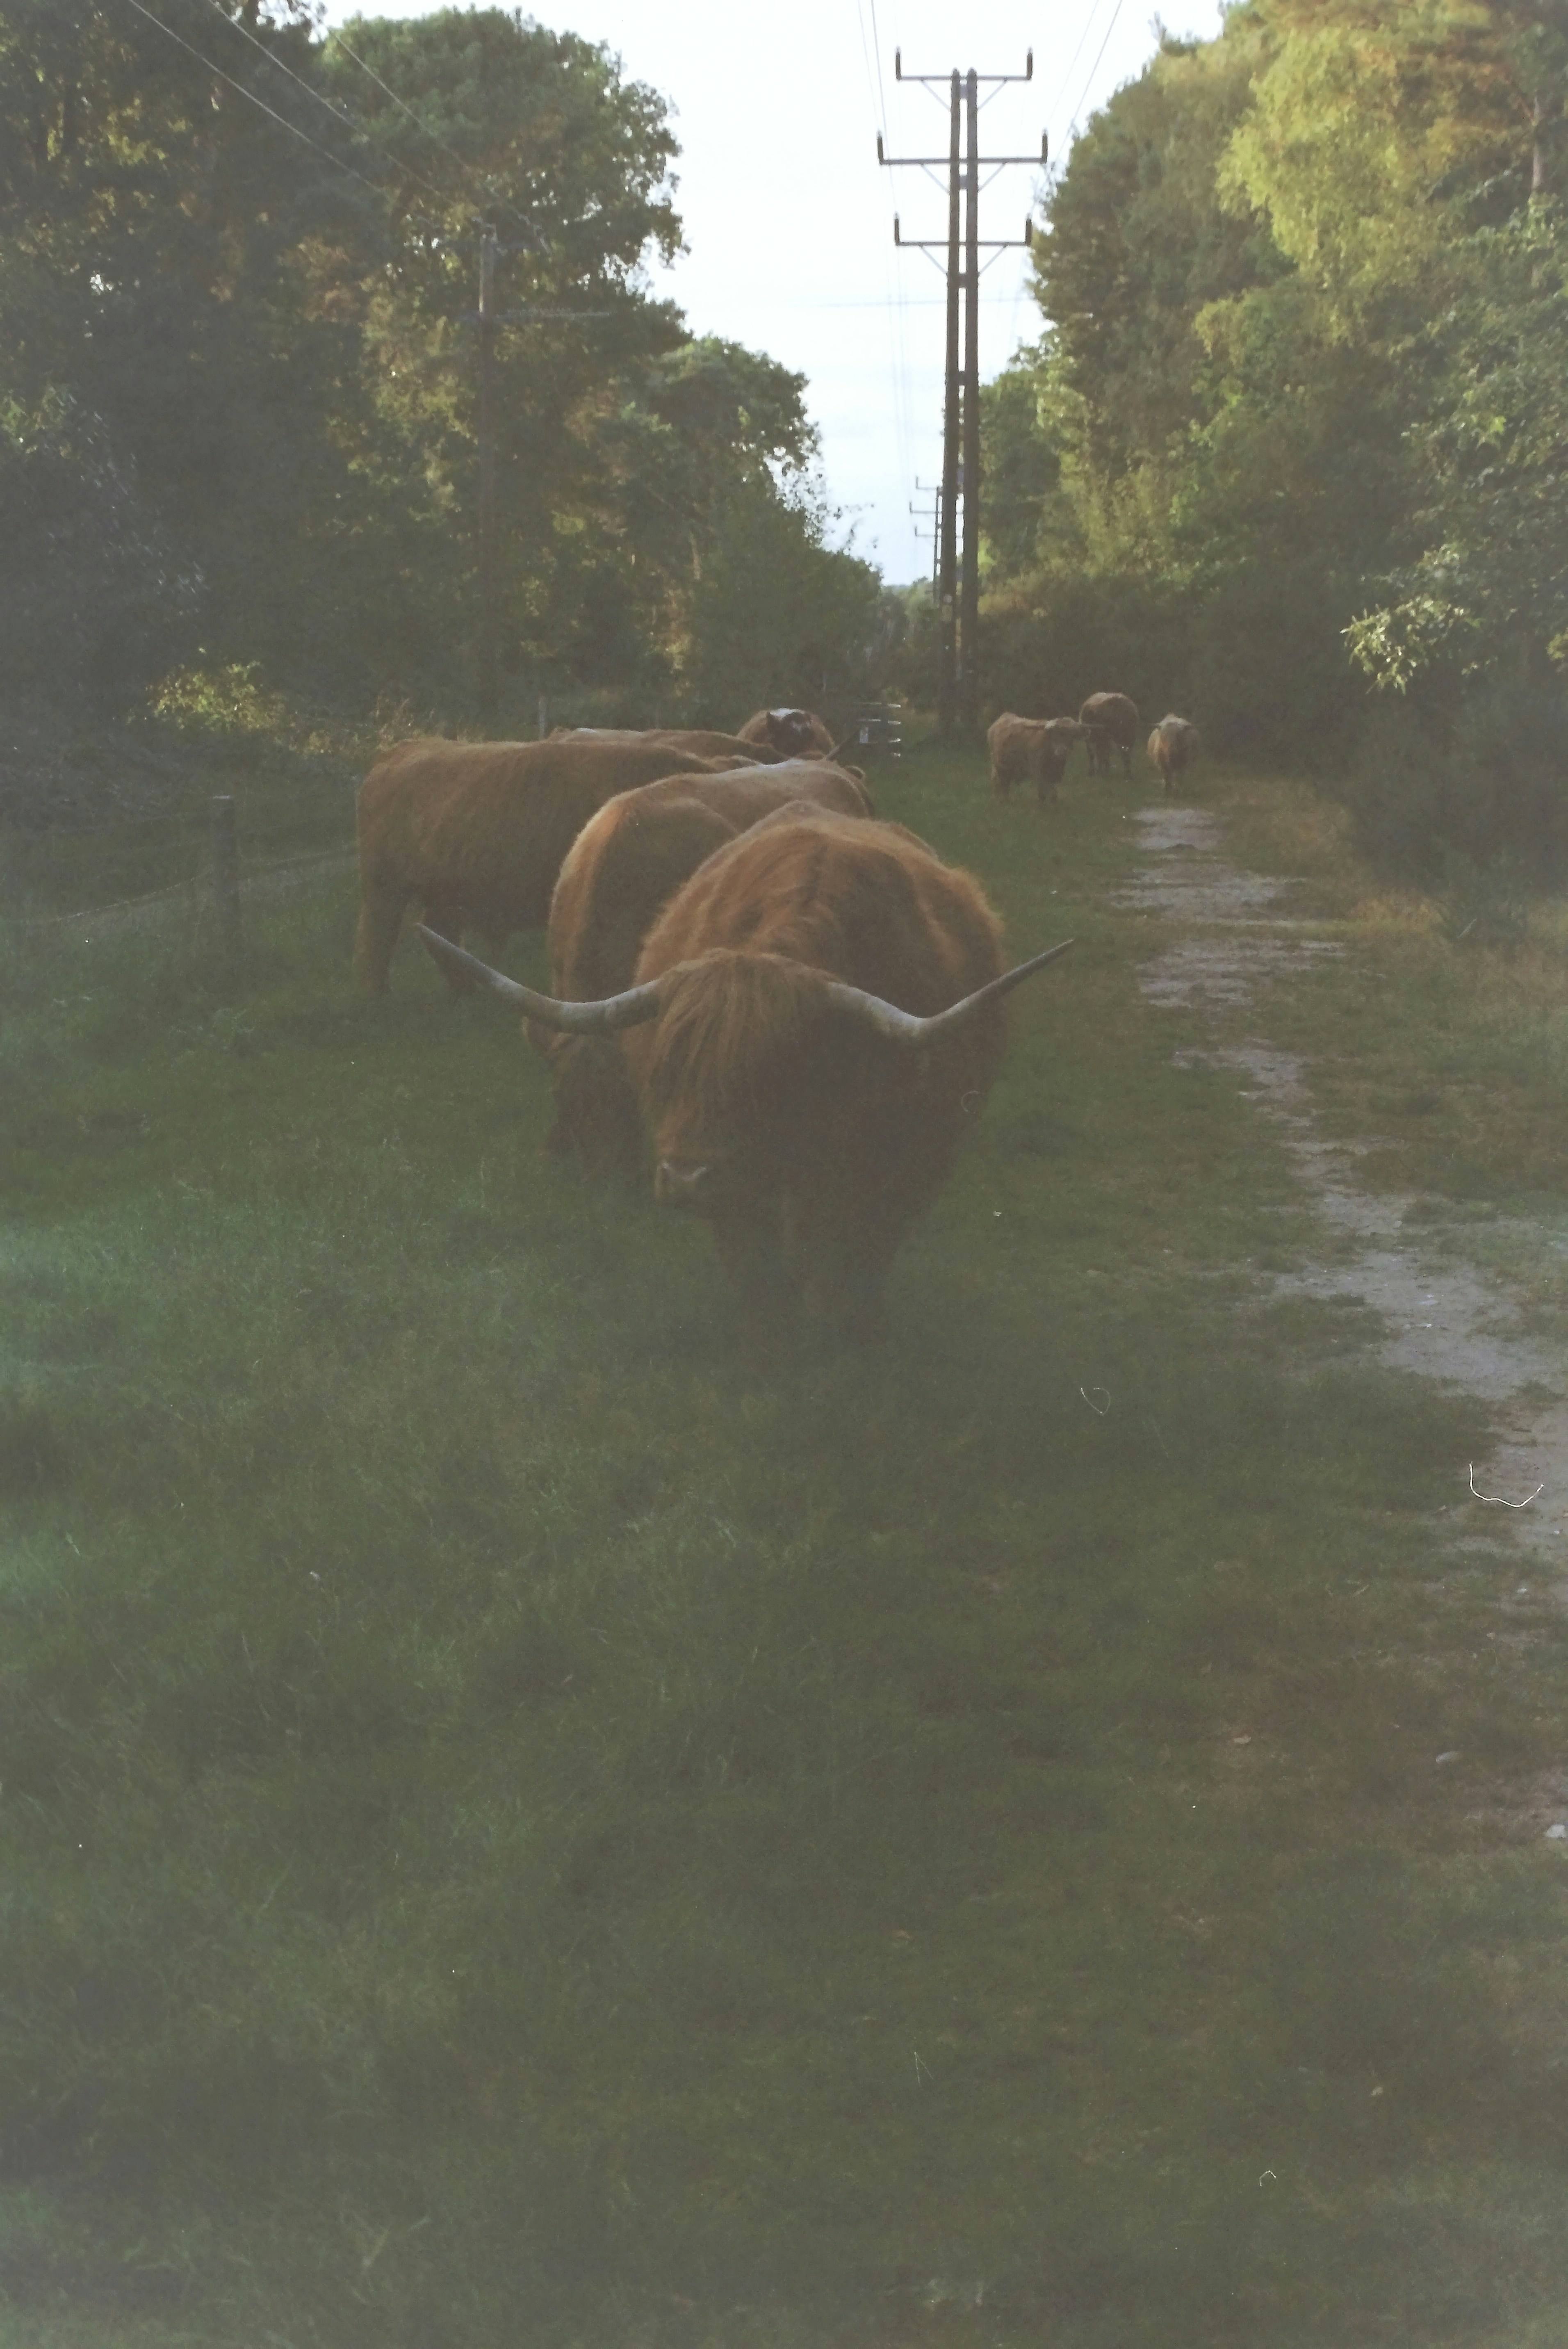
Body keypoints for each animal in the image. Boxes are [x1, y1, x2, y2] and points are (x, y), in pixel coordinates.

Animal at [353, 735, 740, 994]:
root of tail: (401, 751)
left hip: (446, 892)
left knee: (439, 933)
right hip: (384, 886)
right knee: (377, 940)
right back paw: (378, 1000)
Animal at [420, 811, 1072, 1342]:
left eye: (773, 1074)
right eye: (667, 1070)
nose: (686, 1178)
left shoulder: (903, 1164)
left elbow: (850, 1260)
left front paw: (847, 1334)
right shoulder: (738, 1192)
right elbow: (758, 1270)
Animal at [988, 713, 1093, 806]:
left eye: (1071, 736)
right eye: (1054, 735)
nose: (1062, 751)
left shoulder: (1054, 775)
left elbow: (1054, 793)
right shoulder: (1038, 772)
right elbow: (1043, 793)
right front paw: (1043, 807)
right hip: (999, 768)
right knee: (999, 785)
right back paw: (1001, 803)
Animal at [1078, 692, 1140, 780]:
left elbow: (1095, 755)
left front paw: (1096, 773)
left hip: (1106, 738)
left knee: (1101, 754)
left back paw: (1100, 773)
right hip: (1128, 737)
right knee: (1126, 756)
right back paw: (1127, 776)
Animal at [1147, 715, 1200, 794]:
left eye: (1178, 736)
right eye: (1163, 736)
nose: (1171, 752)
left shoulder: (1182, 765)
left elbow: (1178, 779)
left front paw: (1177, 791)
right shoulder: (1162, 765)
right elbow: (1167, 779)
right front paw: (1167, 791)